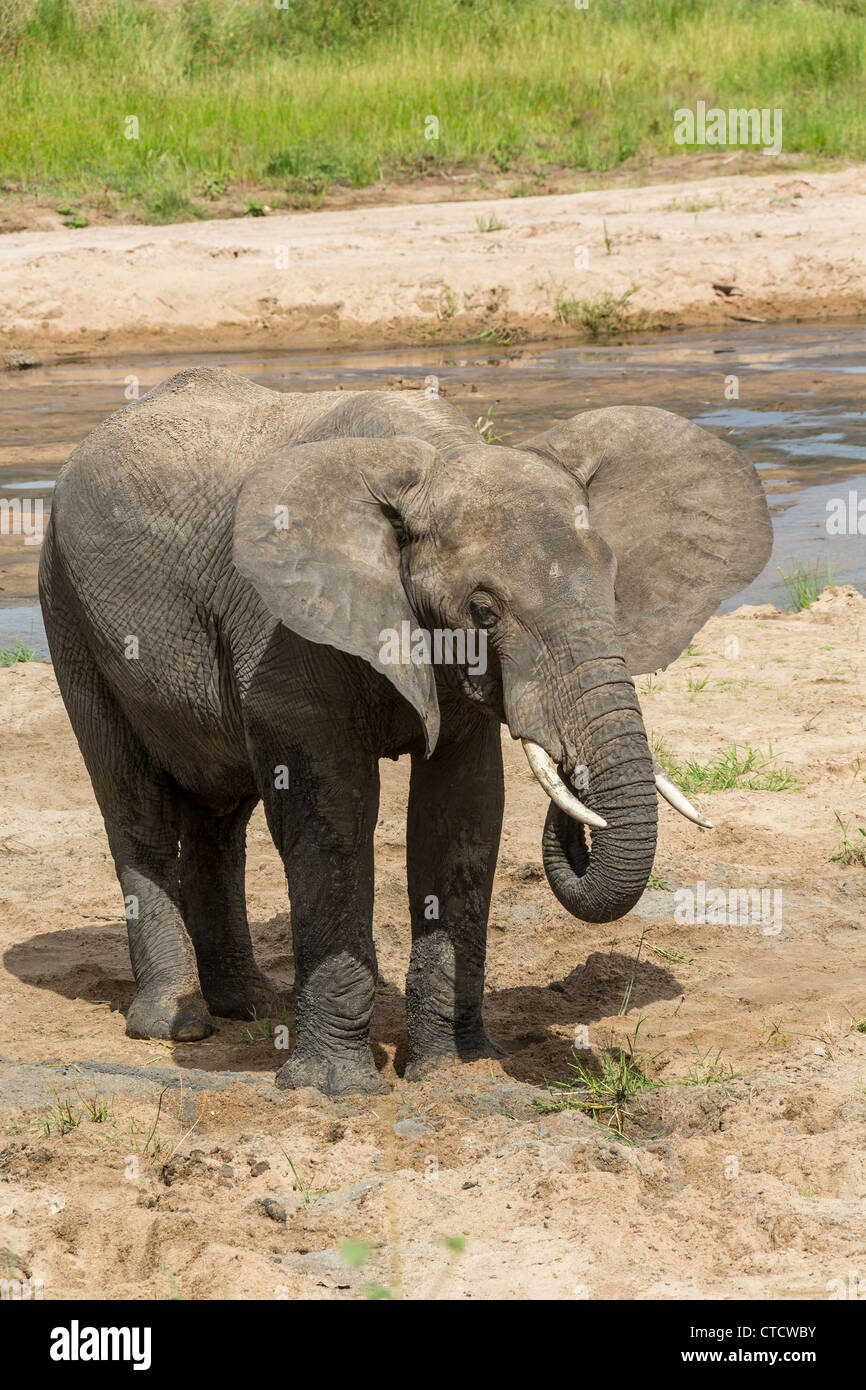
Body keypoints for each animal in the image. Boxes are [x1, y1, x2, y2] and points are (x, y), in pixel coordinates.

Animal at [39, 365, 771, 1096]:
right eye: (483, 610)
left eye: (614, 592)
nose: (576, 804)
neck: (434, 466)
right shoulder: (286, 632)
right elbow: (330, 812)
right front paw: (333, 1090)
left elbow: (462, 814)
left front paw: (454, 1069)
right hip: (67, 608)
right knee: (133, 802)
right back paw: (176, 1024)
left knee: (221, 816)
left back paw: (250, 1007)